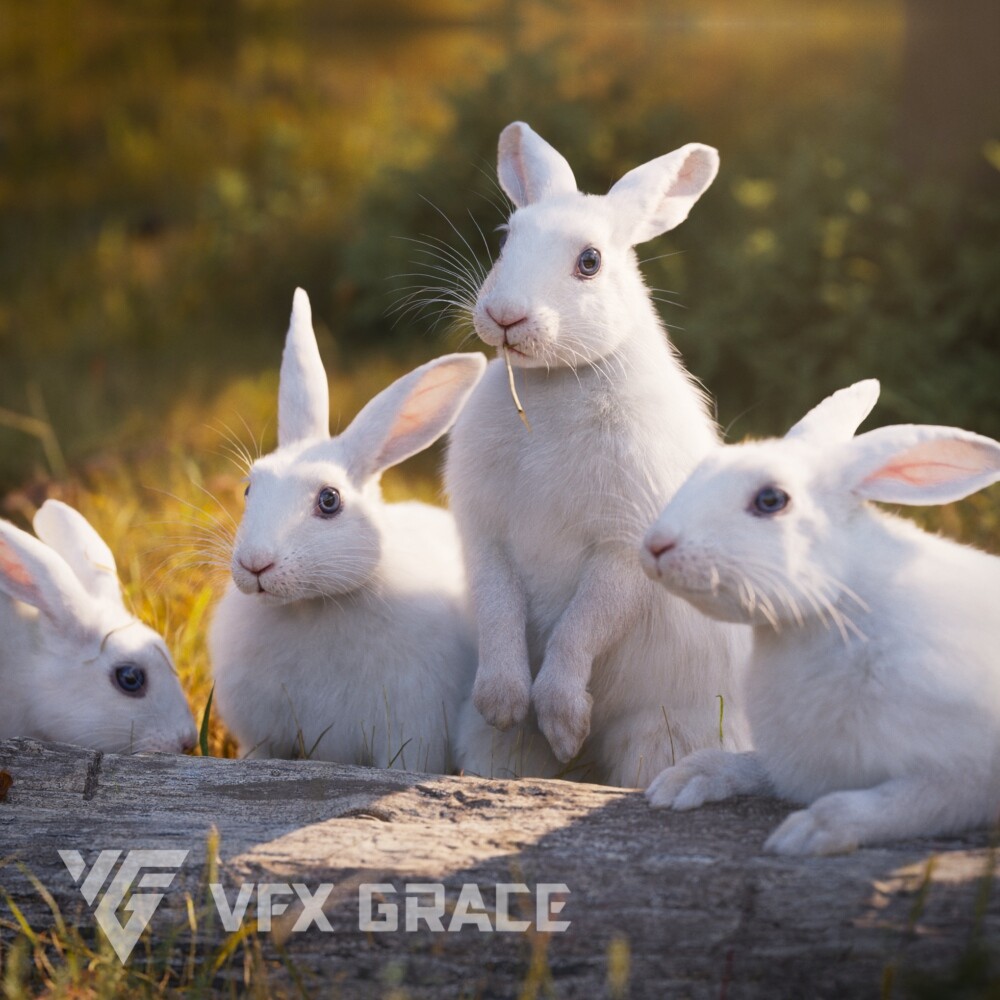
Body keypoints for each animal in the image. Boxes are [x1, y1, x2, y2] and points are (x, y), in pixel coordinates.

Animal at [208, 288, 487, 774]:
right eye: (249, 487)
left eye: (329, 500)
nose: (255, 564)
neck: (311, 607)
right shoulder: (263, 736)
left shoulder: (411, 735)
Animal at [445, 121, 751, 786]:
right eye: (506, 241)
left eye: (590, 262)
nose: (504, 316)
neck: (555, 381)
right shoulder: (487, 535)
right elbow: (500, 611)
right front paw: (504, 705)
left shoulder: (622, 547)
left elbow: (581, 628)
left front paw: (563, 723)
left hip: (665, 731)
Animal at [640, 379, 1000, 854]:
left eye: (771, 500)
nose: (655, 545)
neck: (835, 611)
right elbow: (750, 766)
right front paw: (683, 780)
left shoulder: (962, 776)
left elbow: (899, 803)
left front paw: (804, 834)